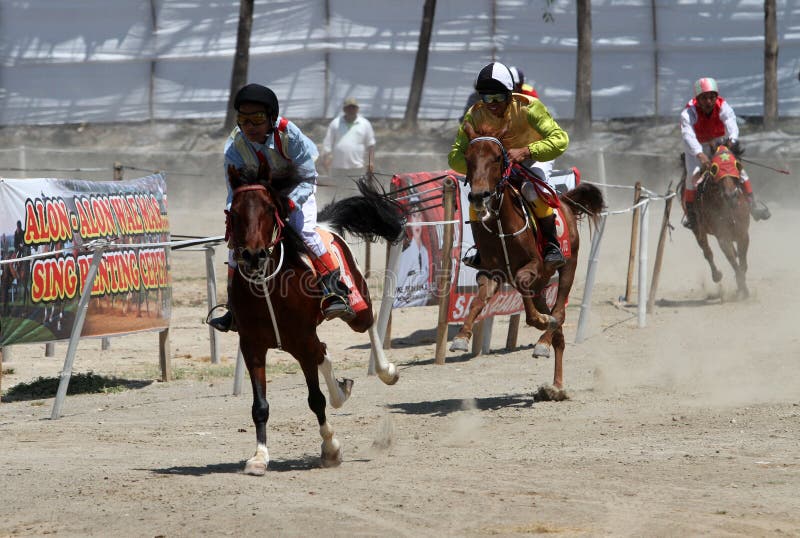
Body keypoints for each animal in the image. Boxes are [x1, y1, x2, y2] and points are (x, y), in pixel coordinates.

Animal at [226, 161, 405, 474]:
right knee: (325, 353)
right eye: (234, 212)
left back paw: (386, 371)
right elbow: (260, 406)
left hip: (356, 308)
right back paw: (342, 390)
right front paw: (259, 457)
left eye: (269, 209)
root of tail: (326, 226)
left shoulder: (302, 340)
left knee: (369, 323)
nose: (253, 256)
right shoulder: (252, 346)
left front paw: (331, 449)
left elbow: (316, 400)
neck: (268, 287)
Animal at [450, 123, 605, 391]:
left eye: (497, 157)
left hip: (568, 266)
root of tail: (564, 202)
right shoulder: (492, 273)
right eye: (467, 158)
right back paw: (556, 383)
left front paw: (539, 321)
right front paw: (461, 336)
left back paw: (544, 342)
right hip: (541, 285)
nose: (479, 196)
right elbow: (477, 301)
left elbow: (523, 285)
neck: (501, 225)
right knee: (559, 332)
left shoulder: (533, 265)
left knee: (559, 313)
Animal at [679, 143, 750, 299]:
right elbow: (733, 261)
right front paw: (743, 289)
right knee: (707, 252)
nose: (731, 195)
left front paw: (742, 288)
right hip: (698, 230)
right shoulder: (722, 236)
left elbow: (742, 262)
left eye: (737, 165)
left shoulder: (743, 233)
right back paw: (716, 275)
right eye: (714, 168)